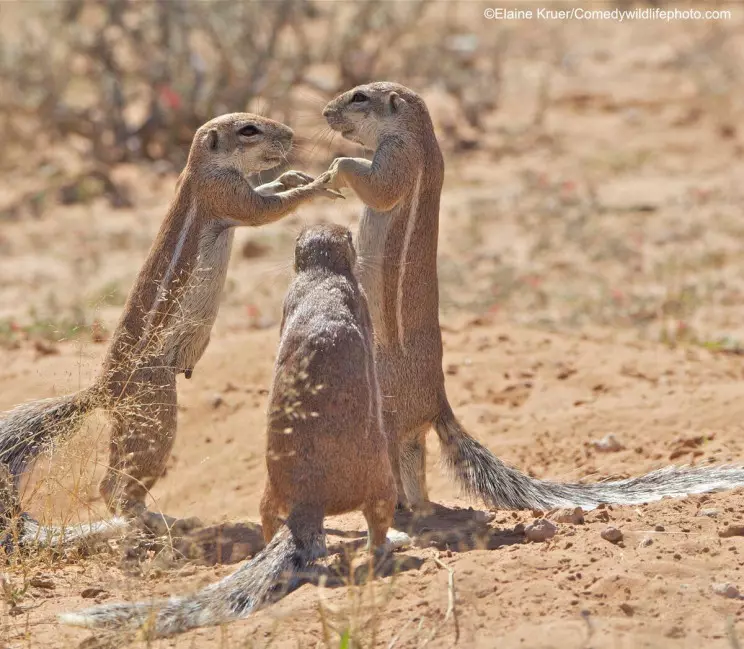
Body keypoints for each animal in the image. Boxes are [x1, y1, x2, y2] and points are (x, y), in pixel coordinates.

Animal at [0, 111, 338, 540]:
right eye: (249, 130)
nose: (292, 135)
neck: (199, 168)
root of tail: (103, 389)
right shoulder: (226, 194)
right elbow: (266, 209)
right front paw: (315, 184)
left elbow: (270, 191)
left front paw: (292, 176)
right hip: (157, 412)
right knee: (116, 488)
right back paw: (159, 525)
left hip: (134, 424)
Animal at [59, 225, 406, 636]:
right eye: (348, 236)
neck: (320, 275)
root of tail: (308, 503)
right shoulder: (358, 298)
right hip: (380, 479)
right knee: (377, 522)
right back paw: (389, 544)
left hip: (271, 492)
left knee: (268, 516)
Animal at [320, 81, 744, 508]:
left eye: (359, 97)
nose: (324, 113)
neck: (418, 133)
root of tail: (437, 403)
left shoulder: (399, 158)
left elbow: (379, 188)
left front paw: (335, 170)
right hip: (406, 433)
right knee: (413, 464)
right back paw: (418, 507)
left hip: (385, 406)